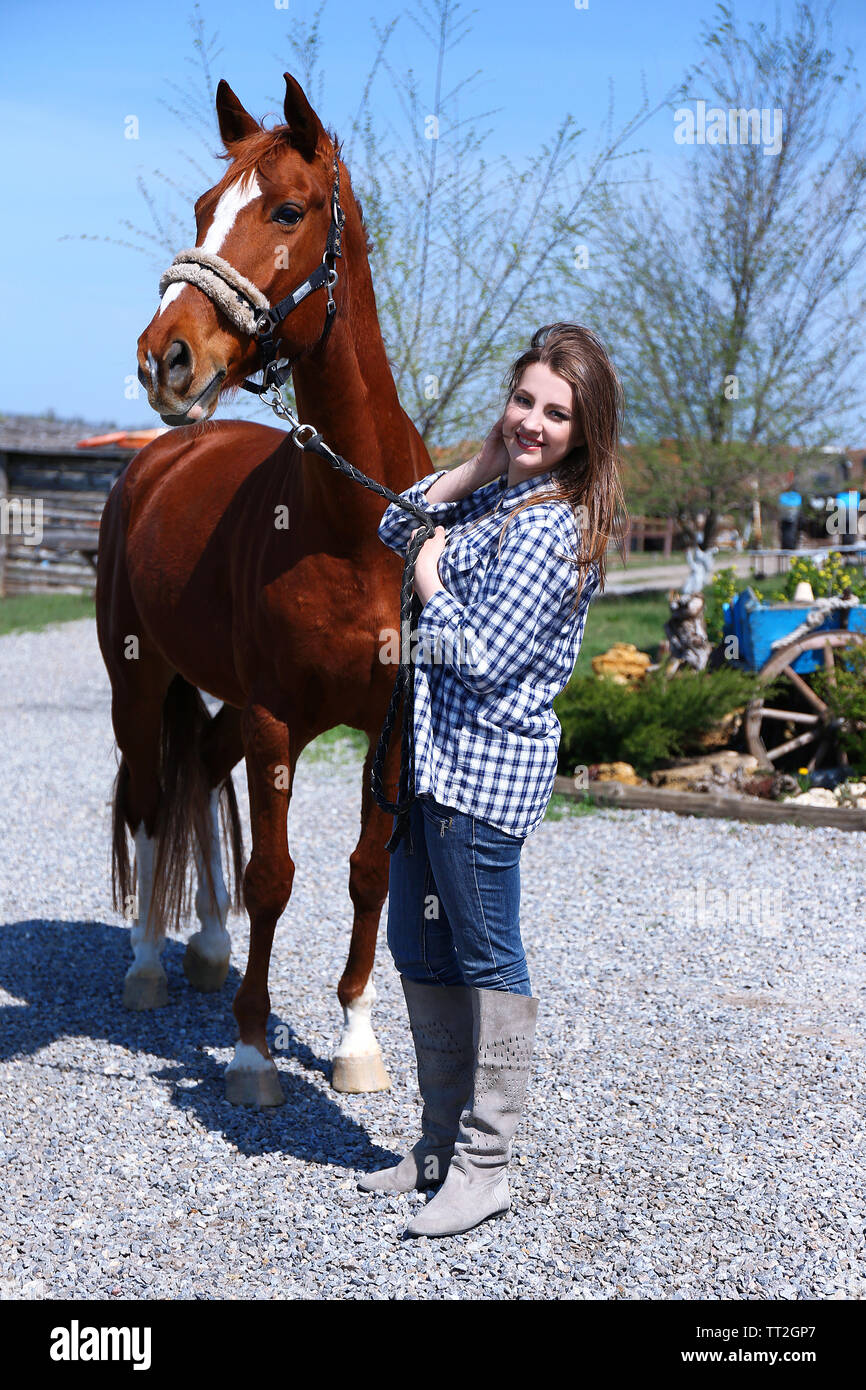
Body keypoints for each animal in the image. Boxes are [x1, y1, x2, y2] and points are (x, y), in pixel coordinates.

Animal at [96, 72, 431, 1104]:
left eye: (287, 210)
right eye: (206, 207)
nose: (164, 357)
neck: (355, 525)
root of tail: (155, 461)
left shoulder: (389, 727)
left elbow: (368, 873)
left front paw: (357, 1040)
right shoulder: (280, 722)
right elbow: (274, 877)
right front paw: (250, 1053)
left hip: (224, 704)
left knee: (199, 776)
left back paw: (205, 948)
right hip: (138, 684)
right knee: (154, 799)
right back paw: (149, 967)